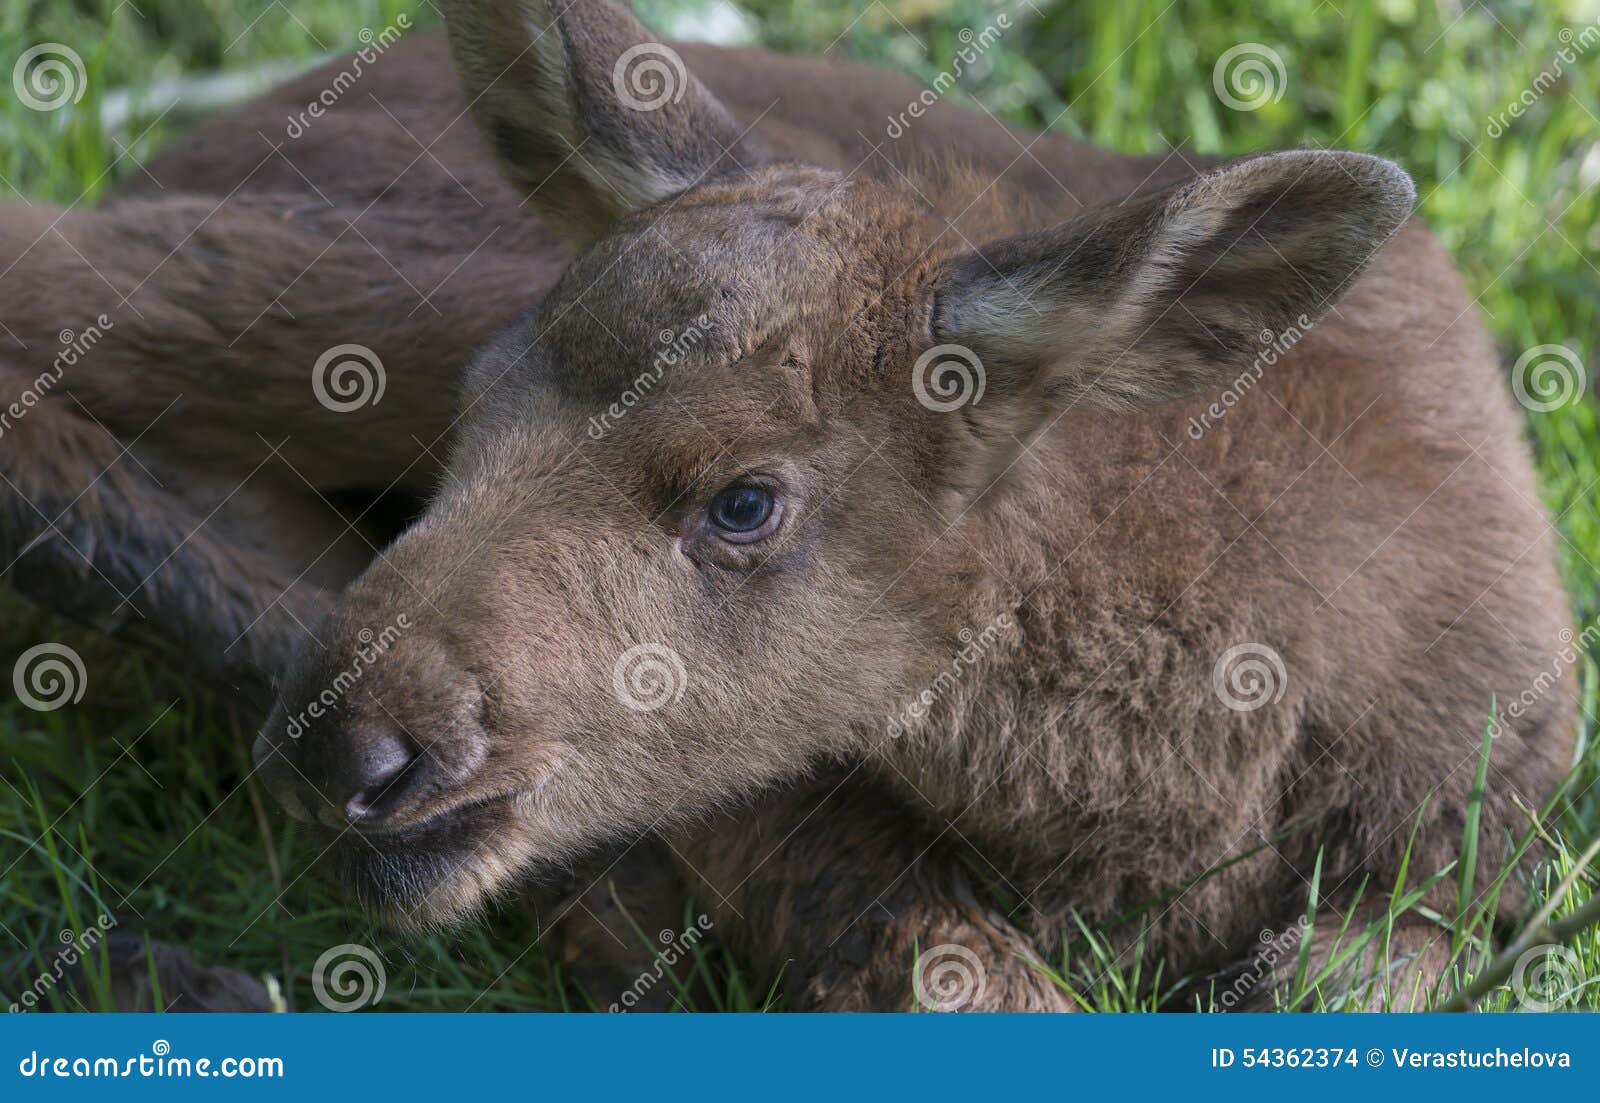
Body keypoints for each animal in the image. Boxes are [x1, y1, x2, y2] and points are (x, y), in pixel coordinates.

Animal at [0, 0, 1574, 1011]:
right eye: (483, 404)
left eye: (746, 500)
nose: (351, 745)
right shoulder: (757, 789)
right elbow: (964, 980)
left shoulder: (1486, 847)